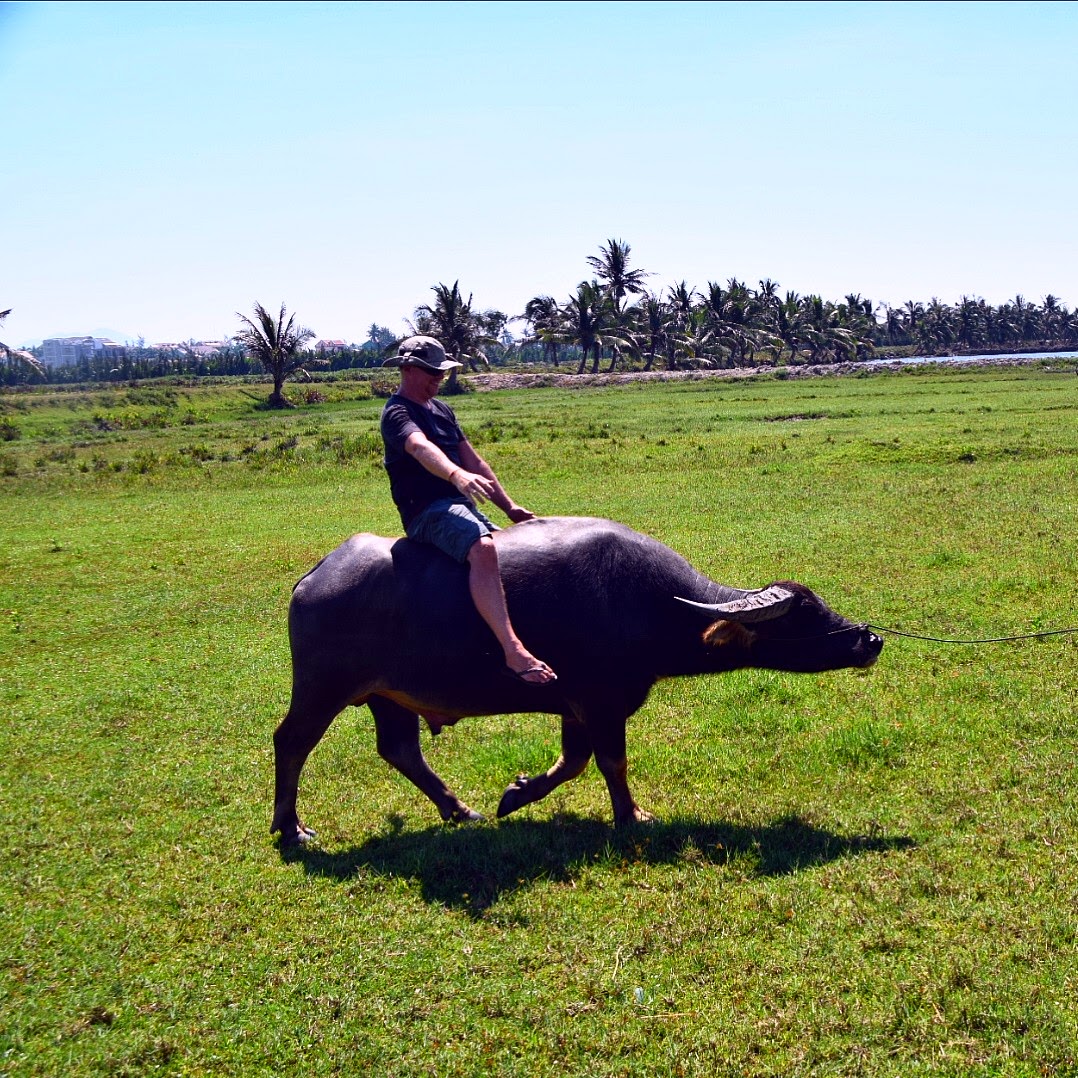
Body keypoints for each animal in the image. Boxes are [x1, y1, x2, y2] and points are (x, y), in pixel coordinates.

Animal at [271, 516, 882, 845]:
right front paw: (632, 816)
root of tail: (313, 578)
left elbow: (573, 761)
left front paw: (516, 794)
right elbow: (612, 761)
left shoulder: (574, 705)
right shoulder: (603, 702)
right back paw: (291, 827)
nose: (869, 639)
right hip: (323, 688)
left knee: (400, 749)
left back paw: (460, 810)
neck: (648, 603)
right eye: (804, 616)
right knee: (292, 742)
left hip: (387, 696)